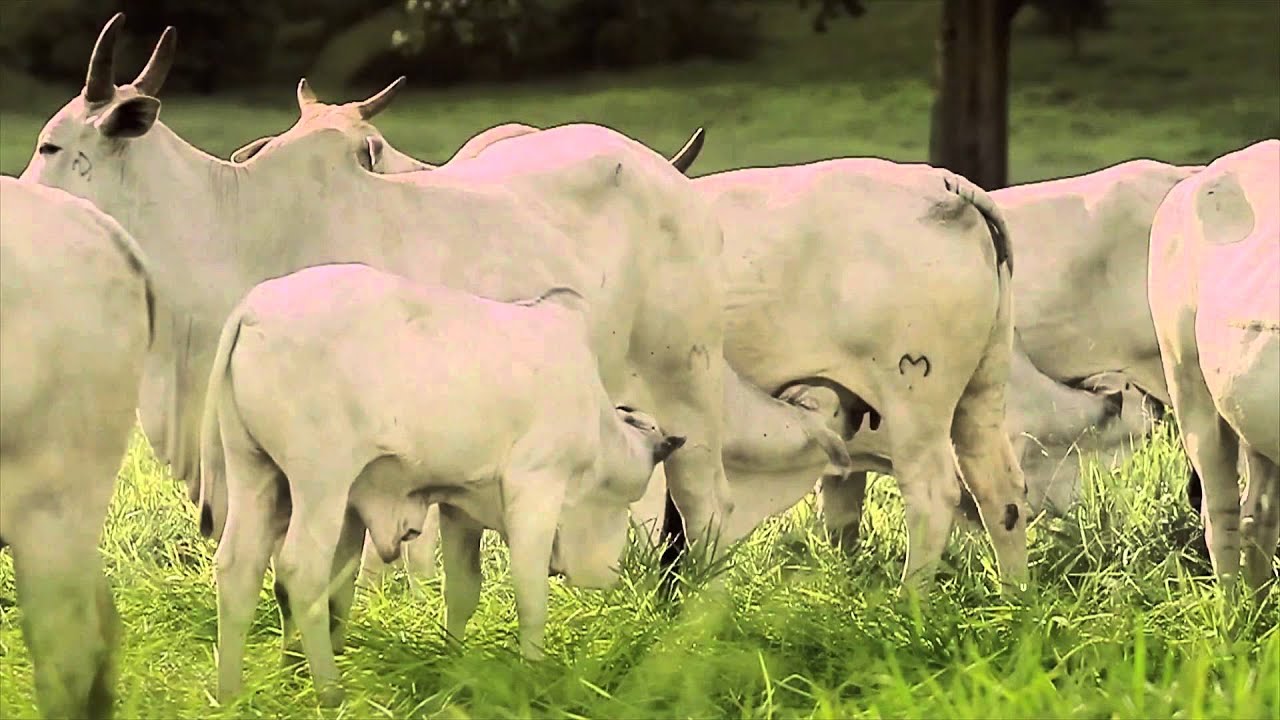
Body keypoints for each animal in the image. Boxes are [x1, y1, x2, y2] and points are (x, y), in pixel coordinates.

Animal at [200, 263, 686, 704]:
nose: (608, 573)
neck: (600, 430)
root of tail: (254, 306)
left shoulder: (459, 507)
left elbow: (463, 591)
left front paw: (452, 664)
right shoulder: (537, 488)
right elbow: (531, 598)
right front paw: (532, 675)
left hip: (253, 470)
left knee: (238, 569)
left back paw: (230, 694)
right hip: (321, 481)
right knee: (302, 572)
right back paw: (330, 691)